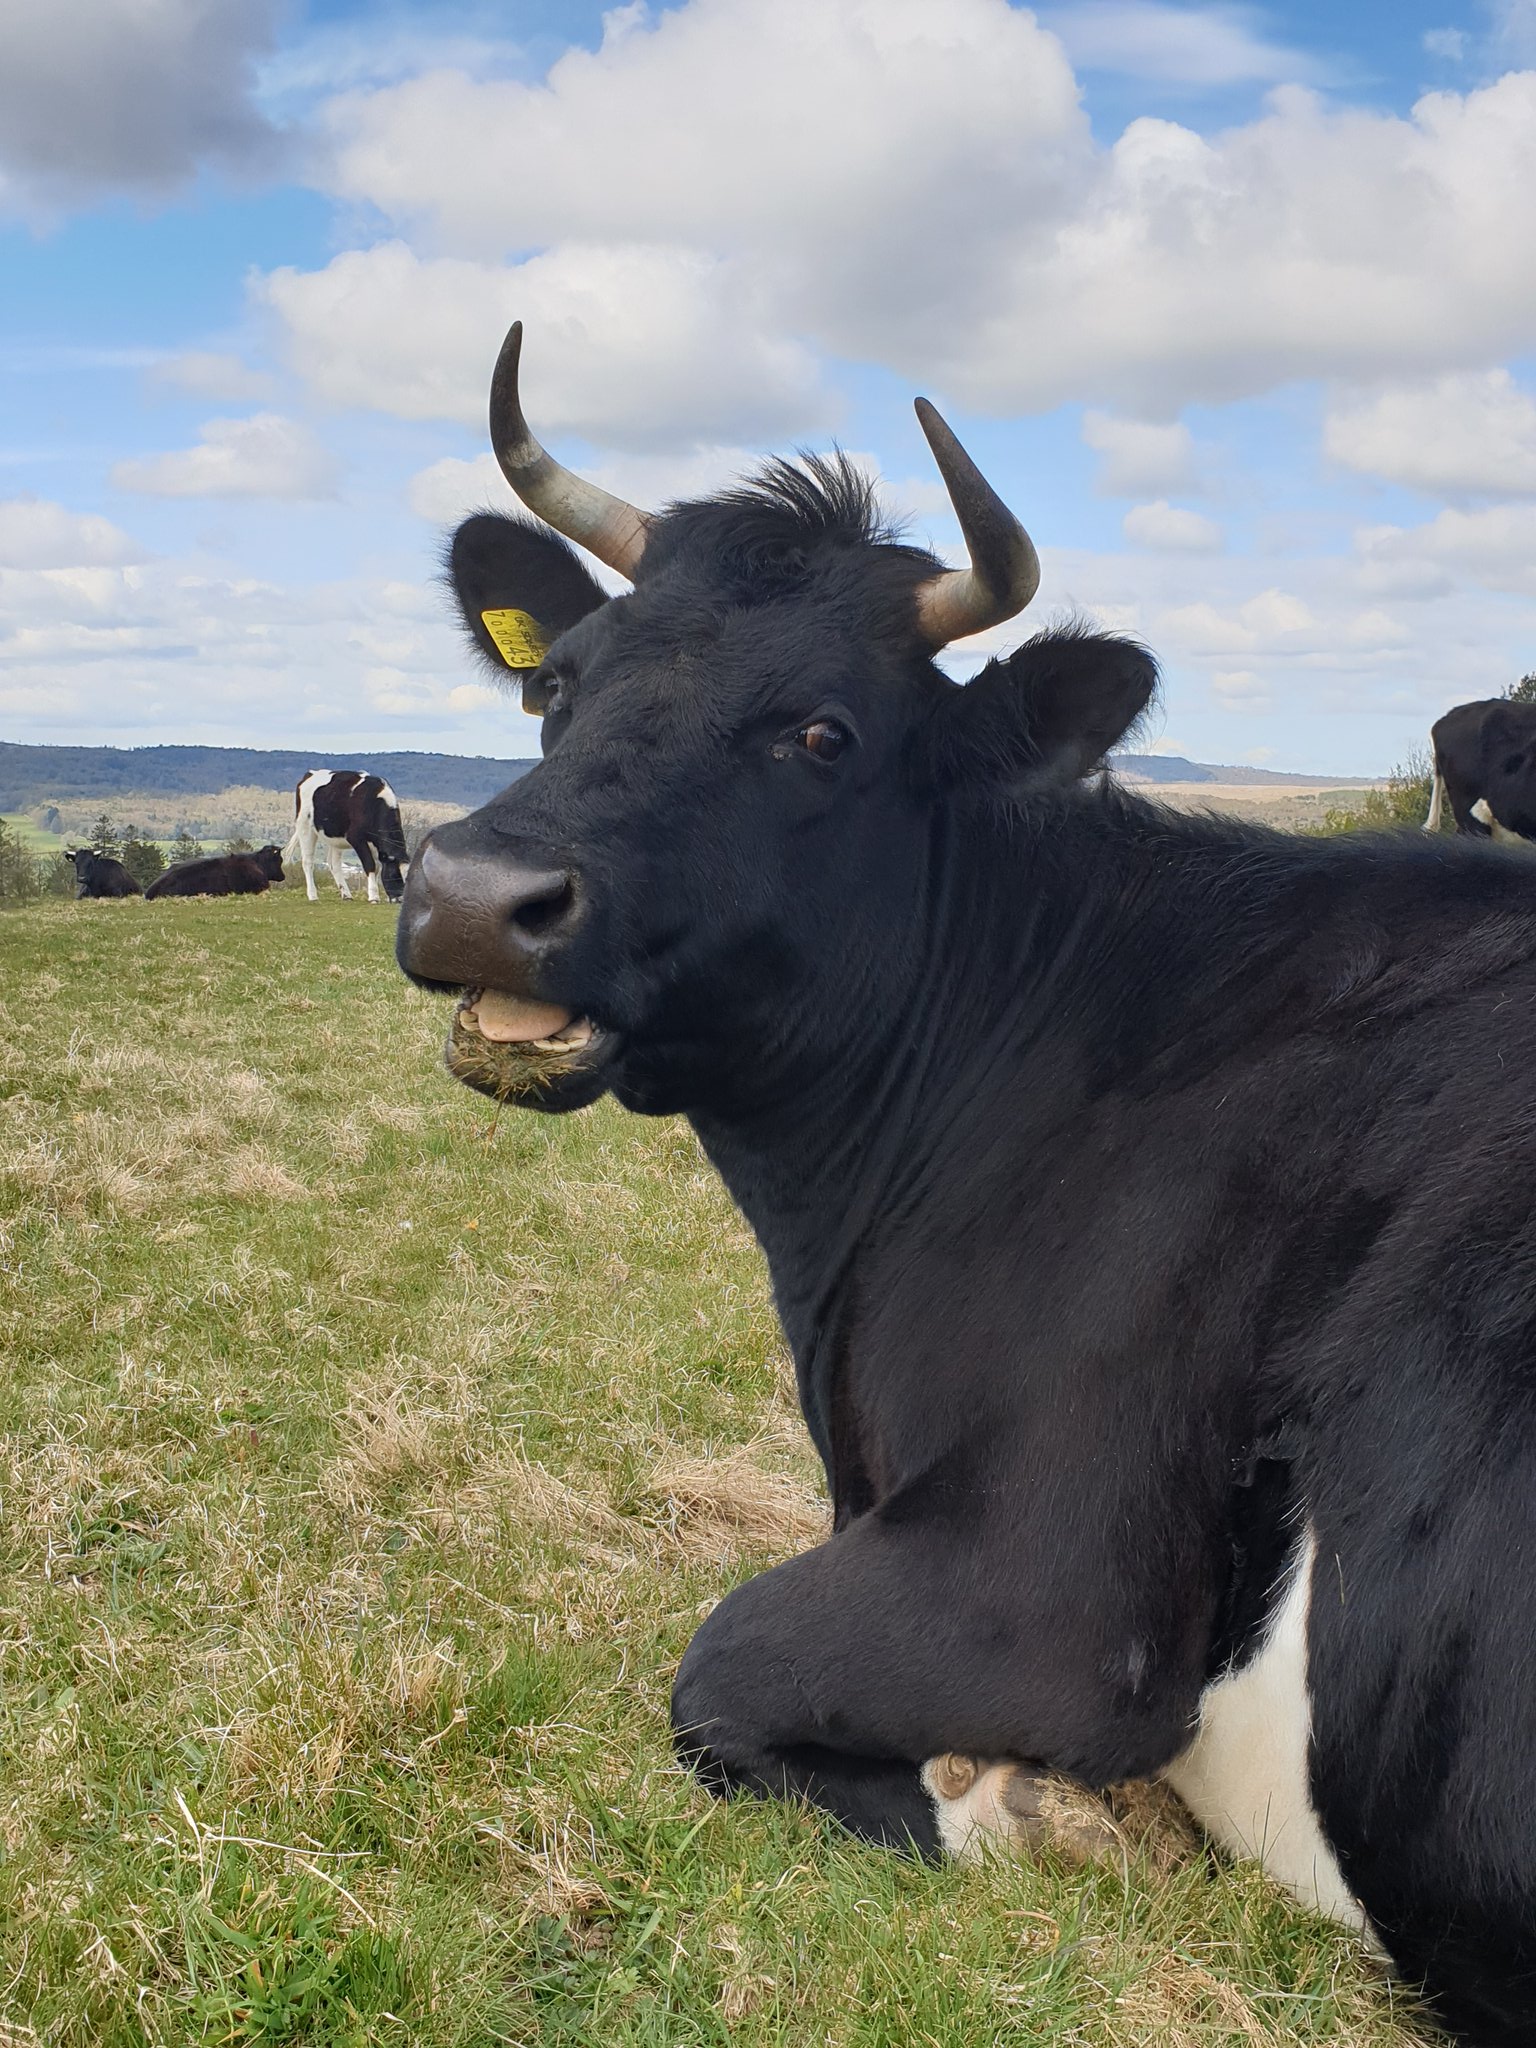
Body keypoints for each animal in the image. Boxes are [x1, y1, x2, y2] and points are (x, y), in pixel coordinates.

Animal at [285, 769, 407, 903]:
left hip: (334, 837)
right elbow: (370, 865)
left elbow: (378, 866)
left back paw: (346, 894)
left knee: (333, 863)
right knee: (307, 862)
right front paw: (373, 896)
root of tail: (311, 773)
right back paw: (313, 895)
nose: (401, 899)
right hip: (305, 826)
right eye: (394, 874)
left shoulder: (376, 844)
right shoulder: (356, 838)